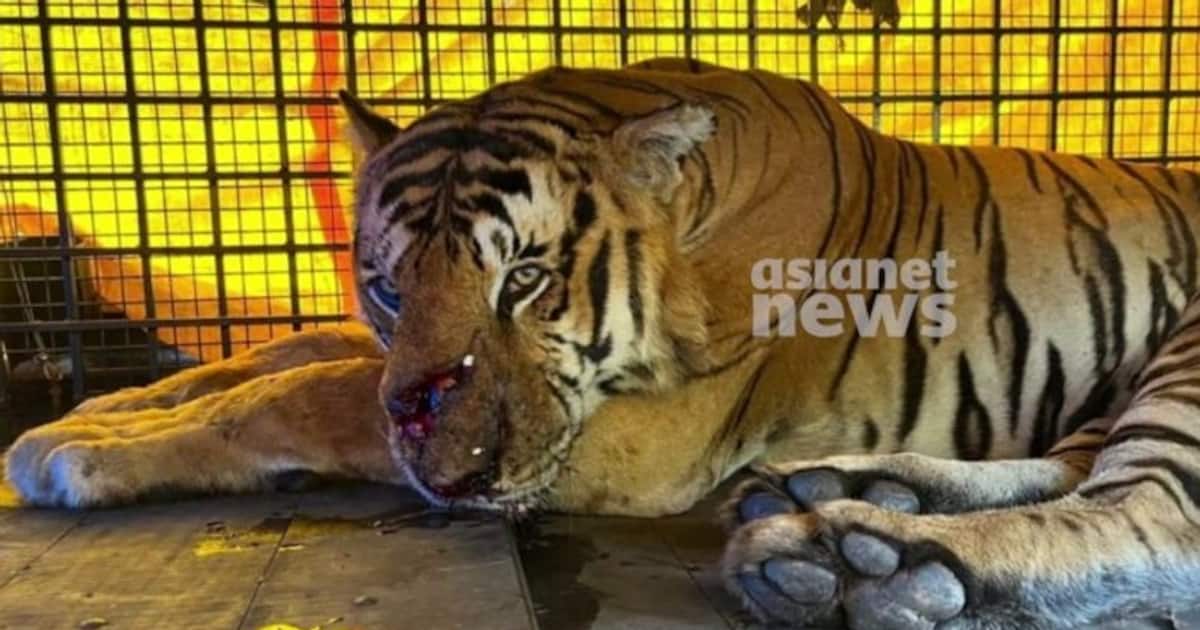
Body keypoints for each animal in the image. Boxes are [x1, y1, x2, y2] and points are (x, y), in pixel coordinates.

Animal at [7, 53, 1200, 629]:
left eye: (524, 282)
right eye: (387, 287)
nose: (435, 454)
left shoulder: (636, 435)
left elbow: (311, 392)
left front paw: (70, 453)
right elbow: (288, 355)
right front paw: (103, 408)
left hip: (1184, 361)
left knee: (1146, 514)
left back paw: (864, 558)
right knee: (1076, 468)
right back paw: (848, 491)